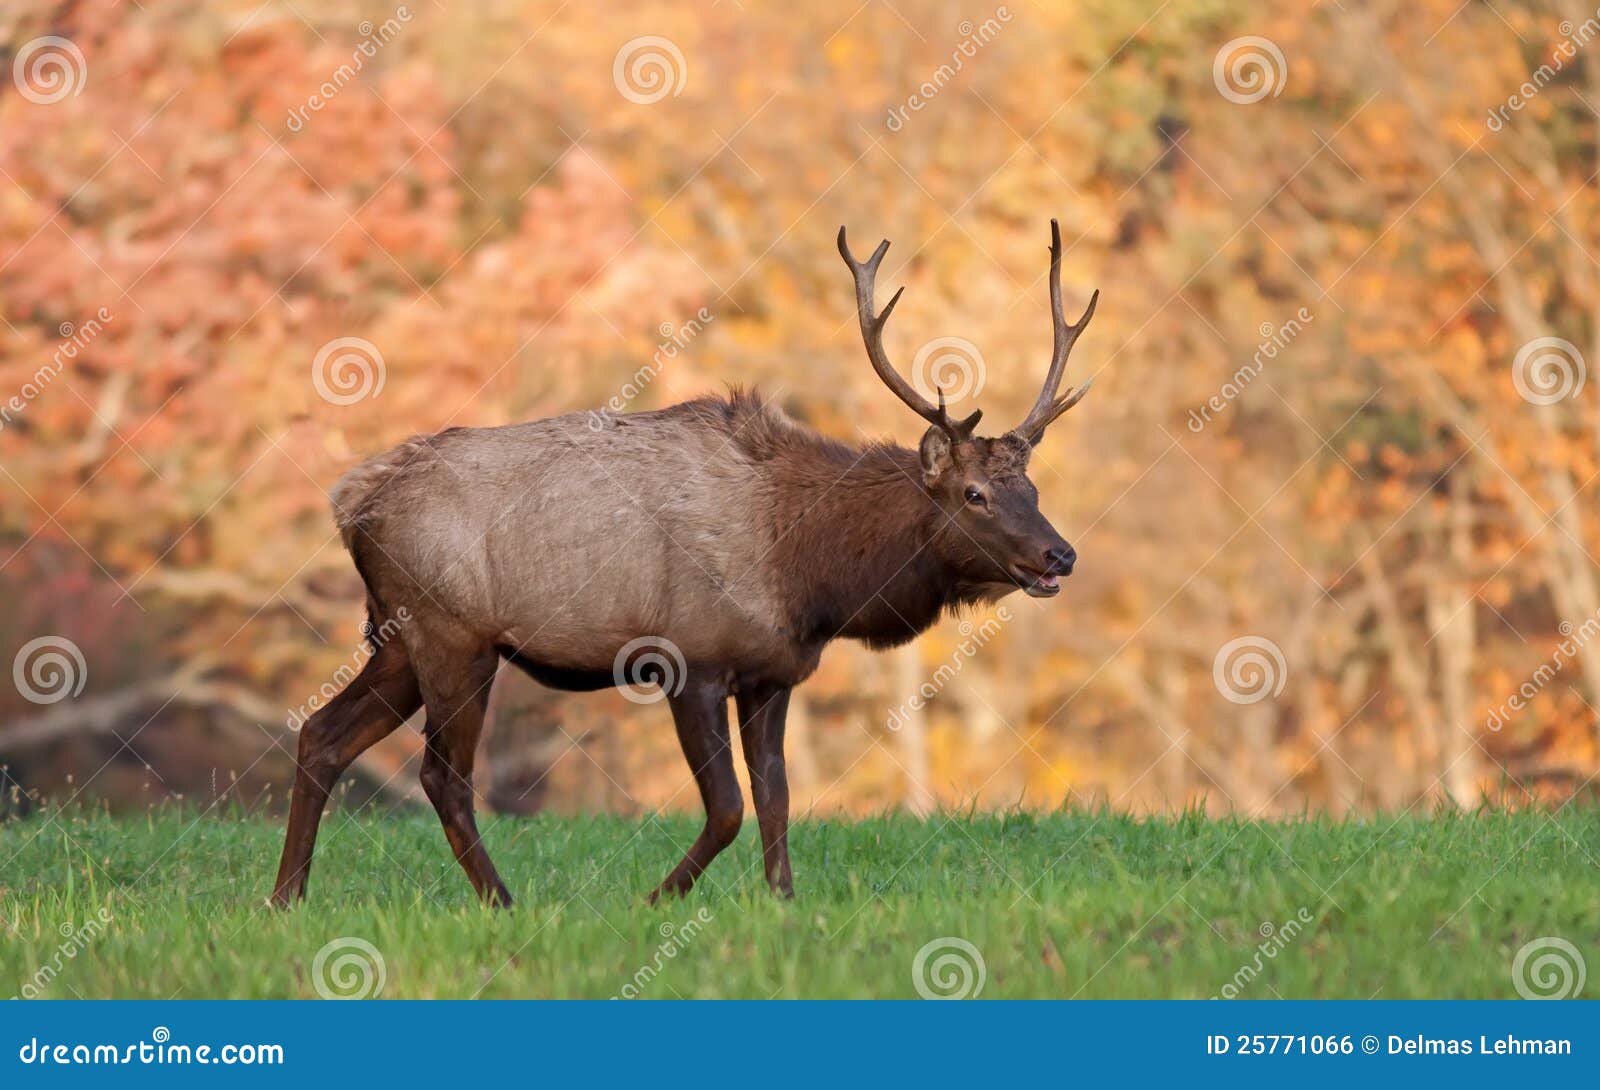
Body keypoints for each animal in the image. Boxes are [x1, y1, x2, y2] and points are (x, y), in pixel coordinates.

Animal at [270, 220, 1099, 907]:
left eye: (1032, 488)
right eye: (975, 494)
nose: (1061, 553)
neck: (811, 579)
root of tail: (351, 502)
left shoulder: (771, 673)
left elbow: (777, 797)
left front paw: (783, 902)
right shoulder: (689, 658)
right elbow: (728, 807)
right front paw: (657, 898)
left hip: (398, 638)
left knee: (321, 735)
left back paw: (287, 898)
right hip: (452, 634)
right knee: (442, 774)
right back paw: (500, 901)